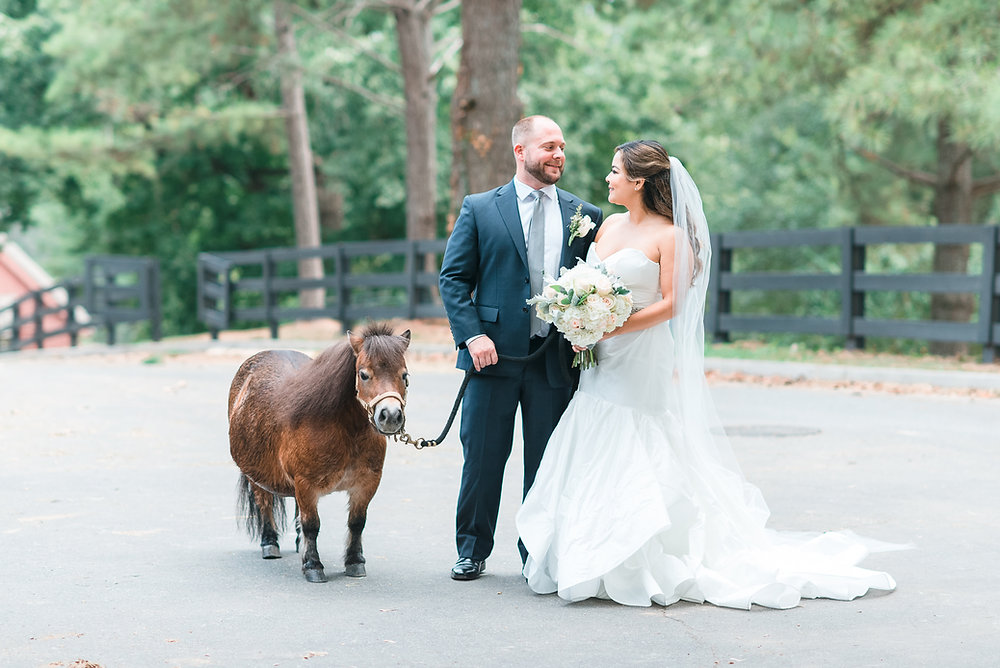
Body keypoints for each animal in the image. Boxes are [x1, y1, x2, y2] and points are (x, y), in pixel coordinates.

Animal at [227, 322, 411, 583]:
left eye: (405, 376)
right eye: (363, 374)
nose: (391, 416)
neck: (345, 432)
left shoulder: (367, 483)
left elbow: (357, 522)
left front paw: (355, 562)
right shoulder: (306, 484)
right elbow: (312, 525)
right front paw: (313, 566)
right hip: (257, 475)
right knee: (264, 503)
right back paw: (269, 543)